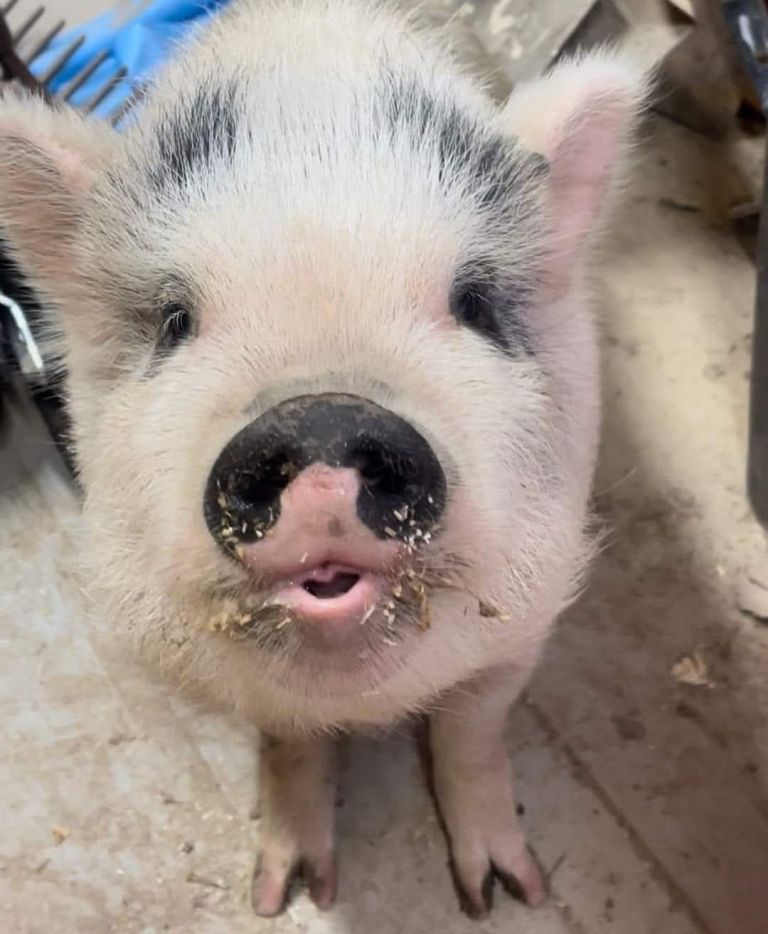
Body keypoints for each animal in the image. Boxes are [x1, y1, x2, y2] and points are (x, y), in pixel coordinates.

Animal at [0, 0, 646, 919]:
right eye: (174, 322)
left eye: (476, 305)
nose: (320, 426)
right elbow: (287, 741)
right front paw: (286, 896)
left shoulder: (533, 605)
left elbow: (473, 727)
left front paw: (503, 896)